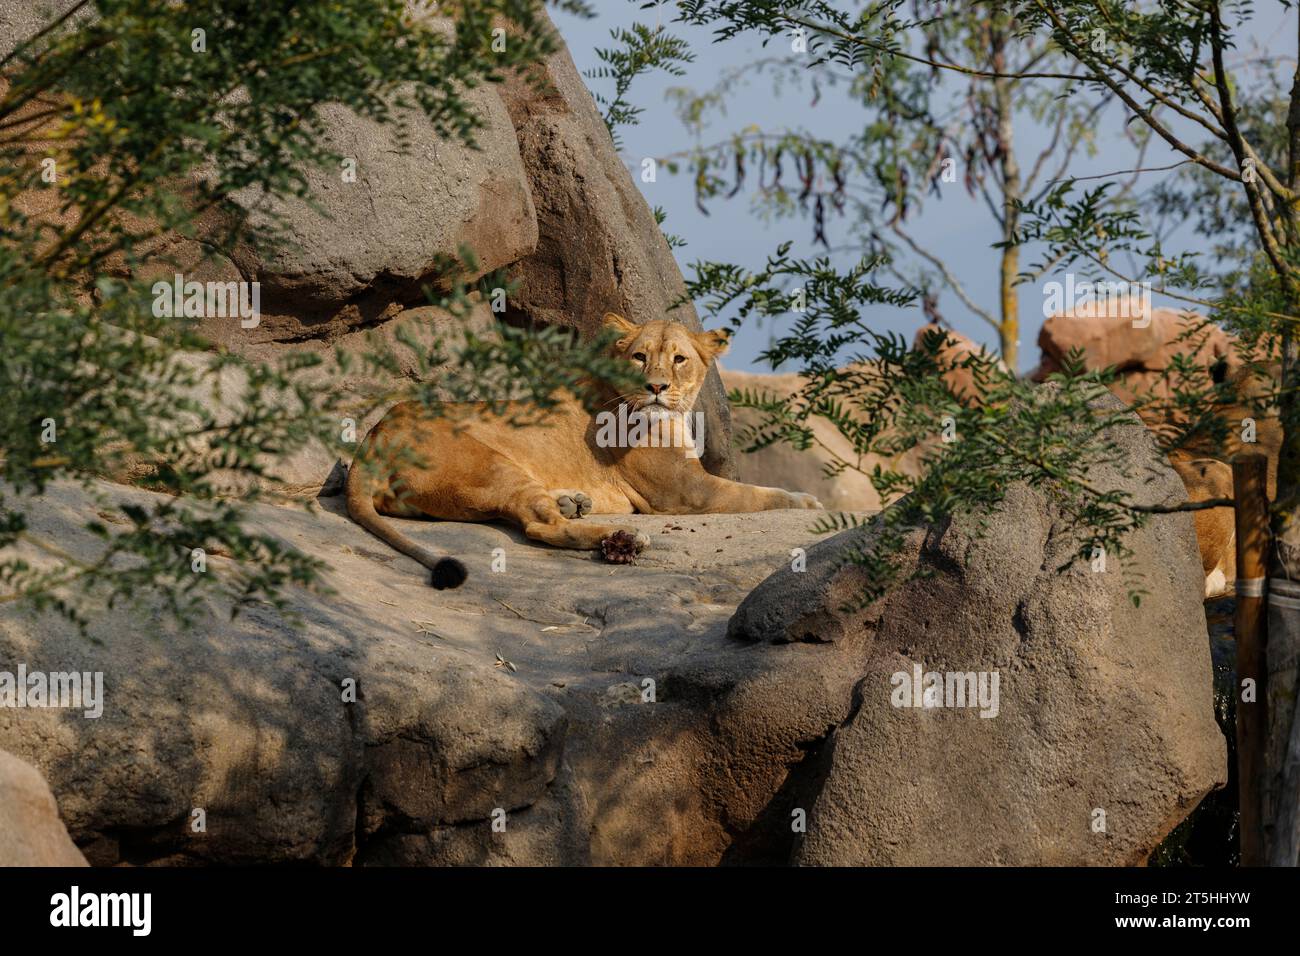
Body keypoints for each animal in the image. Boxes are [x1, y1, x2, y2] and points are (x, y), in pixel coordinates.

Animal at [345, 312, 823, 588]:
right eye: (640, 356)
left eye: (679, 359)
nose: (656, 387)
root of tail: (374, 438)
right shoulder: (687, 492)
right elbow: (762, 495)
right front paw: (809, 501)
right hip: (492, 465)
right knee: (540, 526)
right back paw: (625, 539)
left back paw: (576, 502)